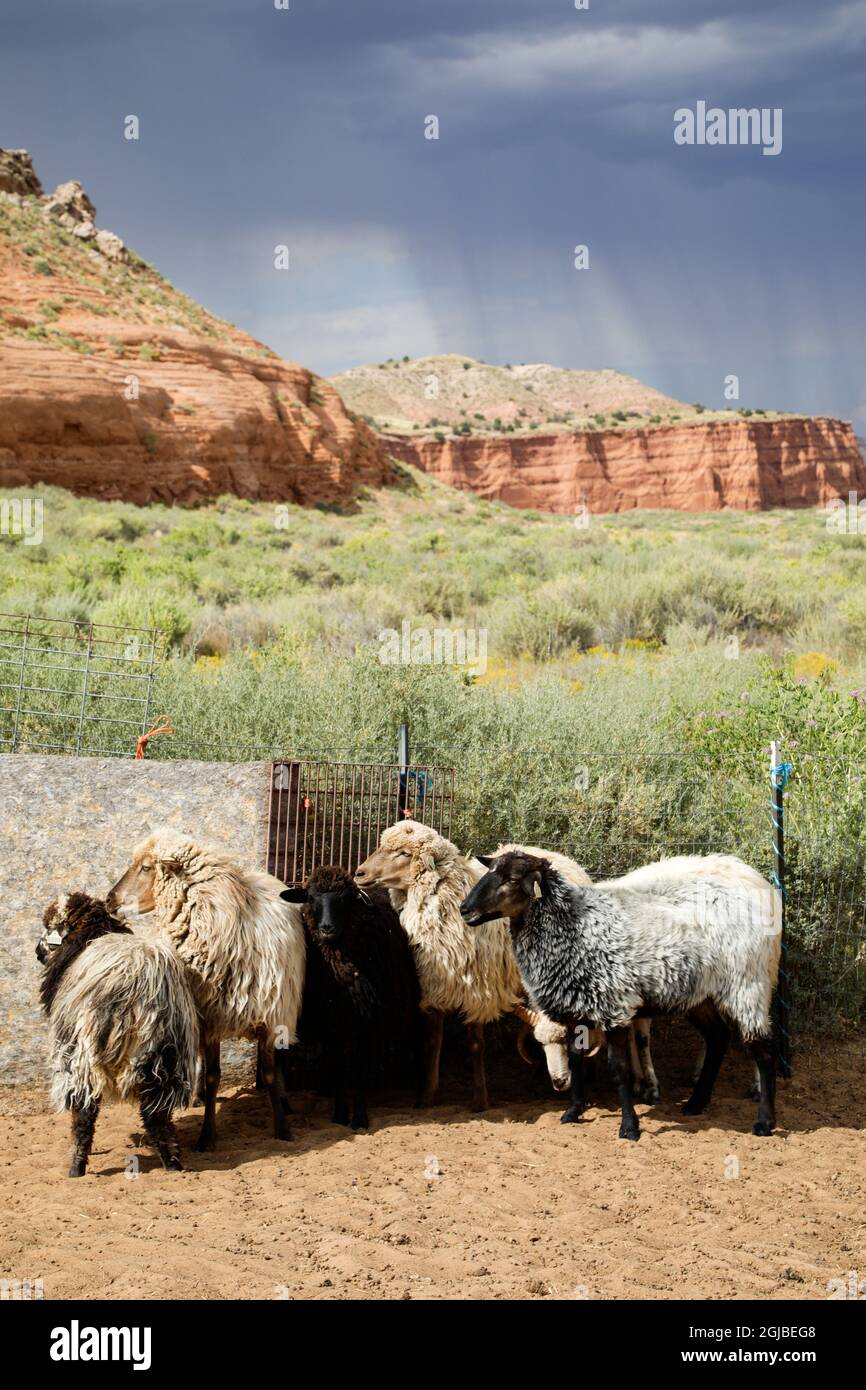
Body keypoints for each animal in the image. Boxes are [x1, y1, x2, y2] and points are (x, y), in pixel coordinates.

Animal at [36, 892, 198, 1176]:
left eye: (49, 928)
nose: (37, 952)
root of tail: (130, 983)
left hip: (81, 1056)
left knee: (84, 1112)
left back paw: (76, 1166)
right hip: (166, 1056)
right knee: (156, 1113)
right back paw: (172, 1162)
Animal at [107, 832, 305, 1152]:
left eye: (146, 867)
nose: (109, 900)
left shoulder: (271, 1015)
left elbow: (269, 1073)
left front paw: (282, 1128)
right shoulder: (211, 1018)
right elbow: (213, 1077)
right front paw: (206, 1136)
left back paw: (285, 1101)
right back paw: (198, 1095)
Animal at [279, 866, 422, 1129]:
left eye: (345, 899)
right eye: (311, 898)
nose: (327, 928)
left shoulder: (364, 1021)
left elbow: (357, 1070)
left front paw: (359, 1118)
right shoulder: (334, 1021)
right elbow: (338, 1068)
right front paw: (339, 1114)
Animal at [460, 850, 780, 1140]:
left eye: (512, 879)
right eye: (490, 871)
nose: (465, 910)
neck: (570, 924)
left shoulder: (614, 1006)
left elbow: (619, 1069)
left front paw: (629, 1127)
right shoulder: (578, 1008)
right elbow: (576, 1059)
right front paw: (572, 1112)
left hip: (747, 984)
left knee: (764, 1050)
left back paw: (764, 1122)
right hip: (702, 995)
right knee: (718, 1038)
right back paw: (695, 1104)